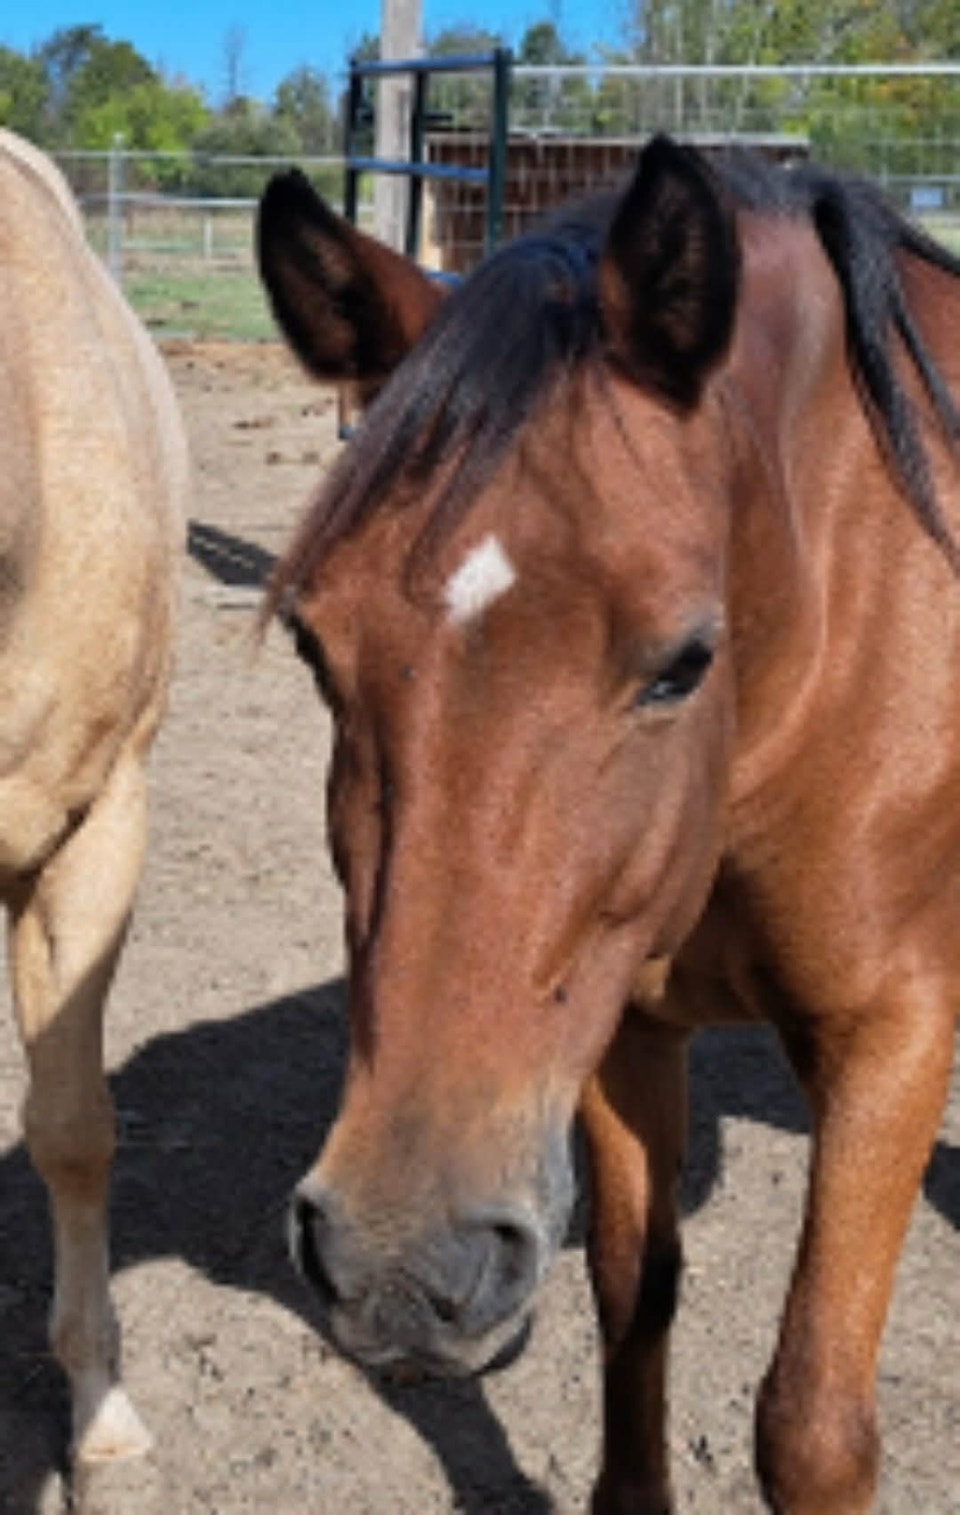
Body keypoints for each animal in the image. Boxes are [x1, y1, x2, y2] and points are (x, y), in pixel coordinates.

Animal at [256, 135, 959, 1515]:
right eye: (315, 645)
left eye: (684, 660)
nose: (398, 1259)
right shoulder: (618, 1027)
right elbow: (635, 1299)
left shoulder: (894, 1036)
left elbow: (812, 1422)